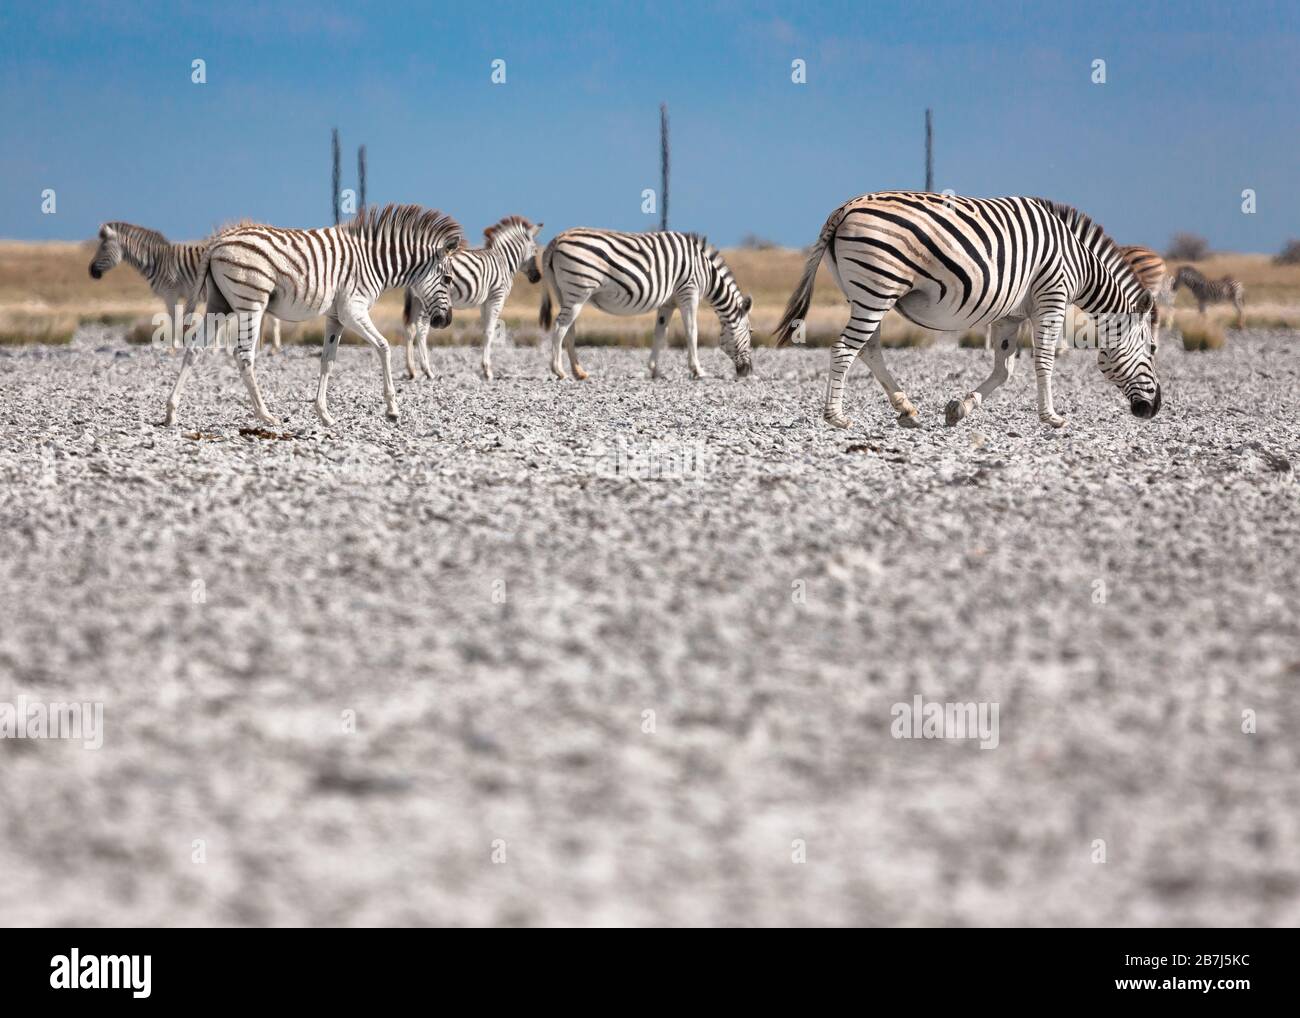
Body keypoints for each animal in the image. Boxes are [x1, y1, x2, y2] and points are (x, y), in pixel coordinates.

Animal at [89, 222, 281, 352]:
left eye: (103, 248)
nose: (91, 272)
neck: (156, 261)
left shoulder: (170, 292)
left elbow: (174, 318)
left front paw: (174, 346)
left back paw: (272, 347)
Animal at [163, 204, 462, 428]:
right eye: (448, 279)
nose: (446, 321)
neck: (373, 263)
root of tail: (217, 242)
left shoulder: (336, 317)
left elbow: (327, 360)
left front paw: (324, 414)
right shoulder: (353, 310)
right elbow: (384, 347)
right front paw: (392, 409)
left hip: (220, 304)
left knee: (195, 349)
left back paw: (171, 412)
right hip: (251, 303)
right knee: (243, 355)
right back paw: (265, 415)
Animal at [402, 215, 543, 382]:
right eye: (535, 251)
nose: (537, 277)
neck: (503, 260)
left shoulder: (485, 301)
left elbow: (484, 329)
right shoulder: (497, 296)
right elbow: (490, 331)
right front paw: (487, 370)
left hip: (417, 299)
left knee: (410, 329)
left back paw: (412, 370)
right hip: (428, 298)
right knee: (421, 330)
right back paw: (427, 370)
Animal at [537, 229, 754, 380]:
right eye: (751, 332)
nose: (747, 372)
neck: (706, 272)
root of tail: (557, 239)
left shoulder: (667, 303)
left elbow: (659, 333)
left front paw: (655, 370)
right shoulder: (689, 293)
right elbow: (692, 332)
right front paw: (698, 370)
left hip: (565, 294)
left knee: (569, 330)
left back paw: (578, 372)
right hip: (578, 291)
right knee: (560, 327)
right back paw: (558, 371)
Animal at [774, 192, 1160, 429]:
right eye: (1153, 350)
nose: (1154, 410)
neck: (1078, 261)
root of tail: (844, 209)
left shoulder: (1009, 315)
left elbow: (1004, 370)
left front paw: (960, 408)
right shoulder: (1052, 296)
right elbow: (1045, 360)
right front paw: (1051, 417)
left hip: (866, 294)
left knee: (868, 349)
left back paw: (906, 408)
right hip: (876, 289)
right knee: (844, 349)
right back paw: (836, 416)